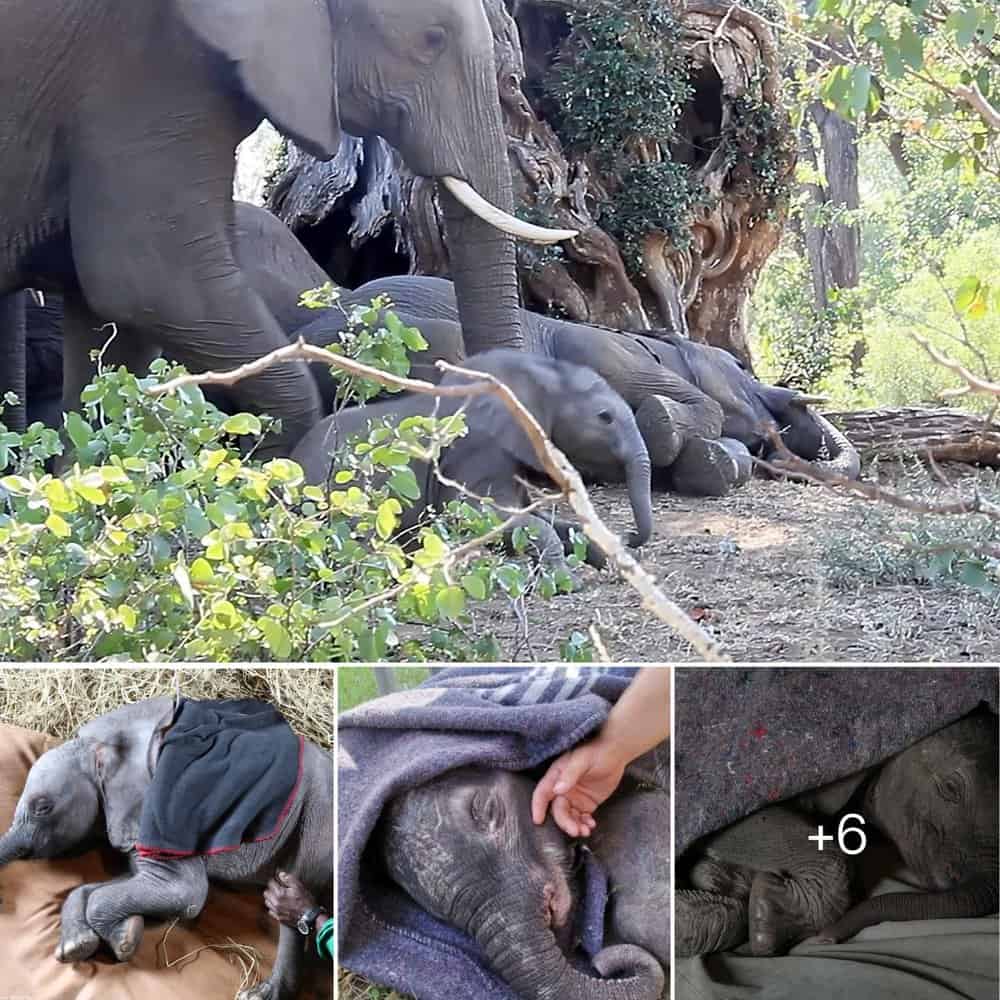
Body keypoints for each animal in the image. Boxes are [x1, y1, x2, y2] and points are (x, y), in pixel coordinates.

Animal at [0, 697, 334, 1000]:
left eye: (43, 807)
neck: (102, 744)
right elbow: (125, 884)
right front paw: (84, 943)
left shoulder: (166, 809)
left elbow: (187, 892)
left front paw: (122, 942)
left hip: (316, 815)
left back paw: (261, 994)